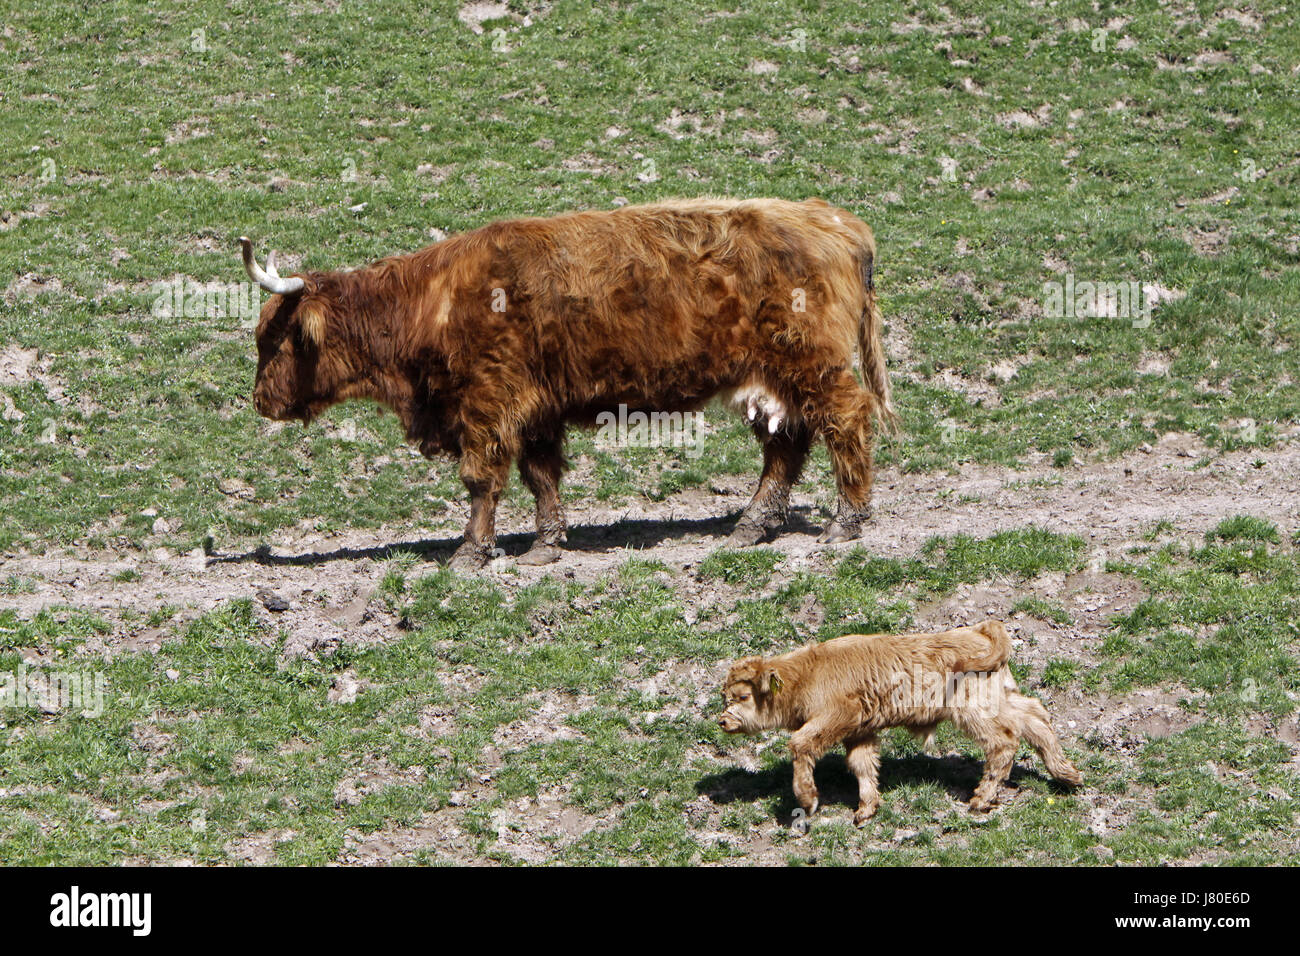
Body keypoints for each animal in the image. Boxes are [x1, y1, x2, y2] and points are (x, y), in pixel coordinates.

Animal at [240, 198, 897, 570]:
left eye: (273, 339)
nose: (260, 401)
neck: (432, 303)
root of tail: (833, 219)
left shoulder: (488, 402)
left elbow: (481, 479)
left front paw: (469, 552)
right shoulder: (535, 410)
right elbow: (540, 475)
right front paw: (547, 544)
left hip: (814, 365)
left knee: (845, 420)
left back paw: (846, 521)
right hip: (772, 378)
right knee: (785, 446)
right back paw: (751, 526)